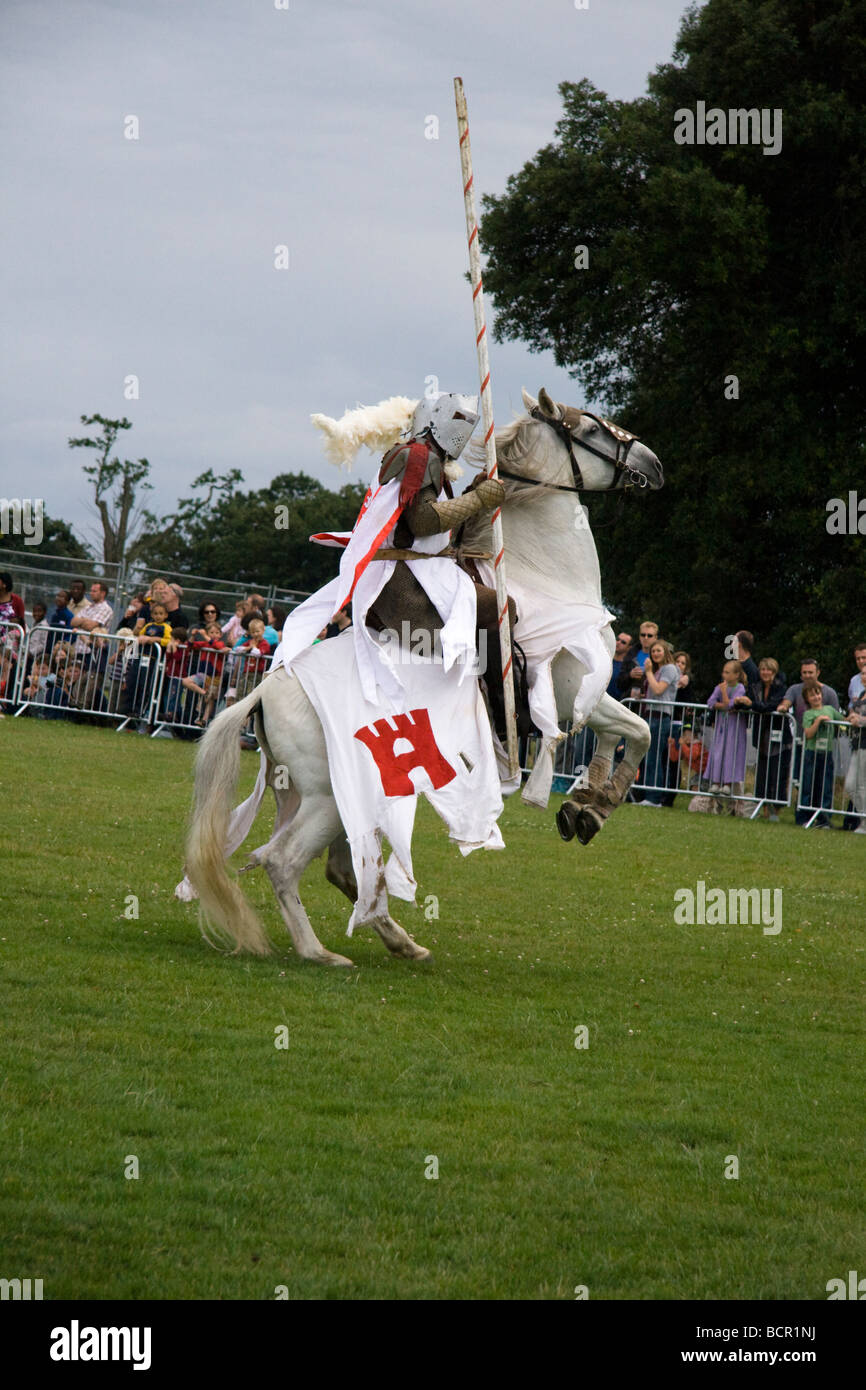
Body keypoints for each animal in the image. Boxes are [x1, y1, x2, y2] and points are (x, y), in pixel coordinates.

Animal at [184, 387, 662, 963]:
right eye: (590, 429)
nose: (653, 465)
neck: (543, 575)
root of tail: (262, 693)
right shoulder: (571, 695)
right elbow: (639, 730)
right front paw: (595, 805)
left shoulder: (586, 699)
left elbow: (619, 734)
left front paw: (584, 805)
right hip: (325, 798)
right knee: (282, 861)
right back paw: (320, 952)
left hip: (314, 795)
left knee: (340, 868)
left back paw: (401, 941)